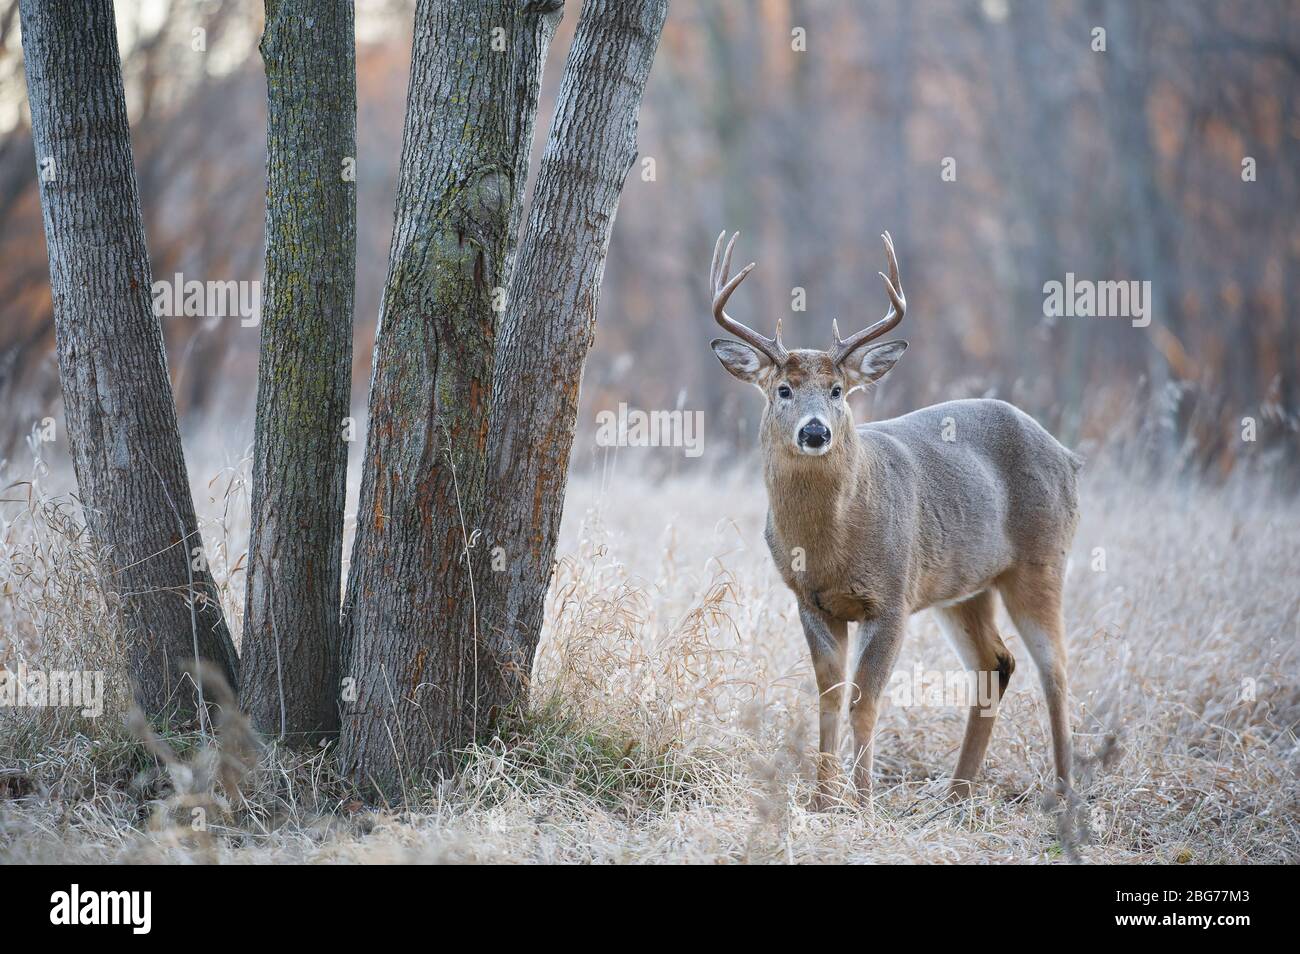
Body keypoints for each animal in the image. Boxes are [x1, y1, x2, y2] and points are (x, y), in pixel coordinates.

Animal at [707, 230, 1081, 807]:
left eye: (838, 391)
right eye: (783, 390)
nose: (815, 431)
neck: (832, 543)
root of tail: (1067, 455)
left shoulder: (891, 597)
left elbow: (865, 700)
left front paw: (861, 801)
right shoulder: (809, 600)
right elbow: (830, 696)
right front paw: (822, 799)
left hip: (1042, 560)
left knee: (1055, 669)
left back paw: (1062, 793)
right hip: (965, 586)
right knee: (995, 663)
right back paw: (957, 796)